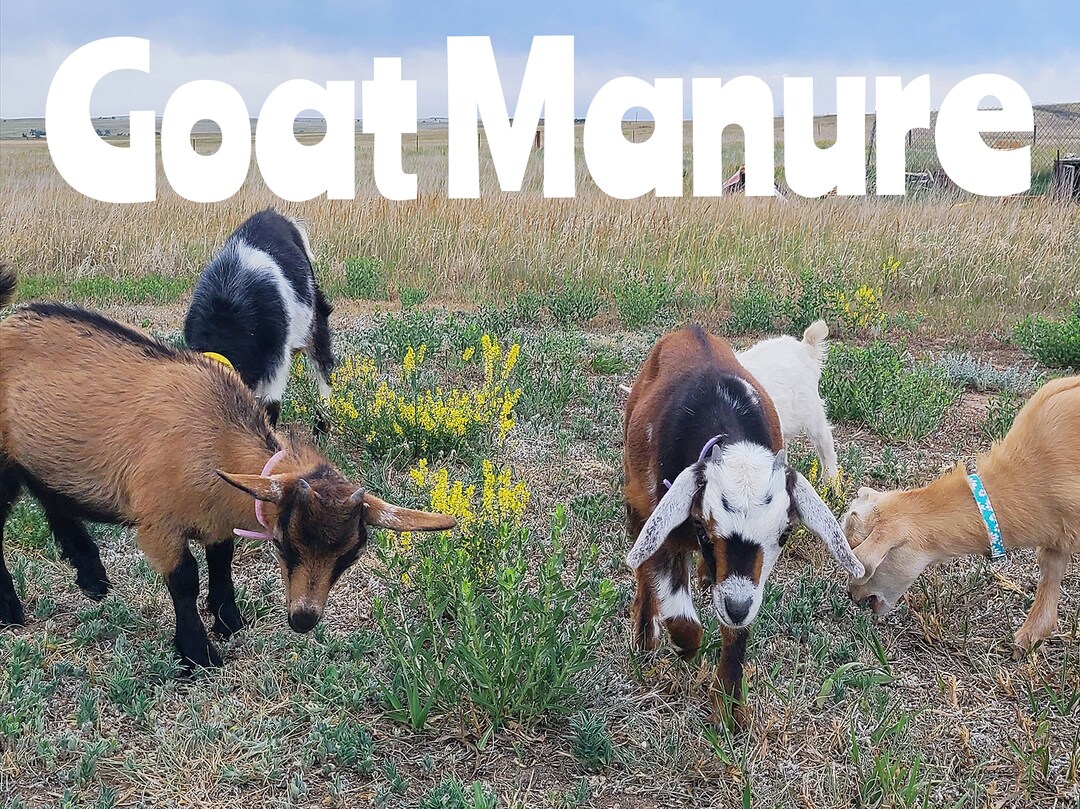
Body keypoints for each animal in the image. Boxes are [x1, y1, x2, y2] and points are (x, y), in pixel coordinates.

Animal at [0, 267, 454, 668]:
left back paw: (91, 576)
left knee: (51, 497)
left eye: (350, 555)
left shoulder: (218, 514)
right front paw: (198, 654)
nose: (303, 620)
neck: (214, 438)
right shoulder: (157, 524)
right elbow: (185, 579)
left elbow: (221, 558)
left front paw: (228, 619)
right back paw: (12, 610)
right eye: (285, 544)